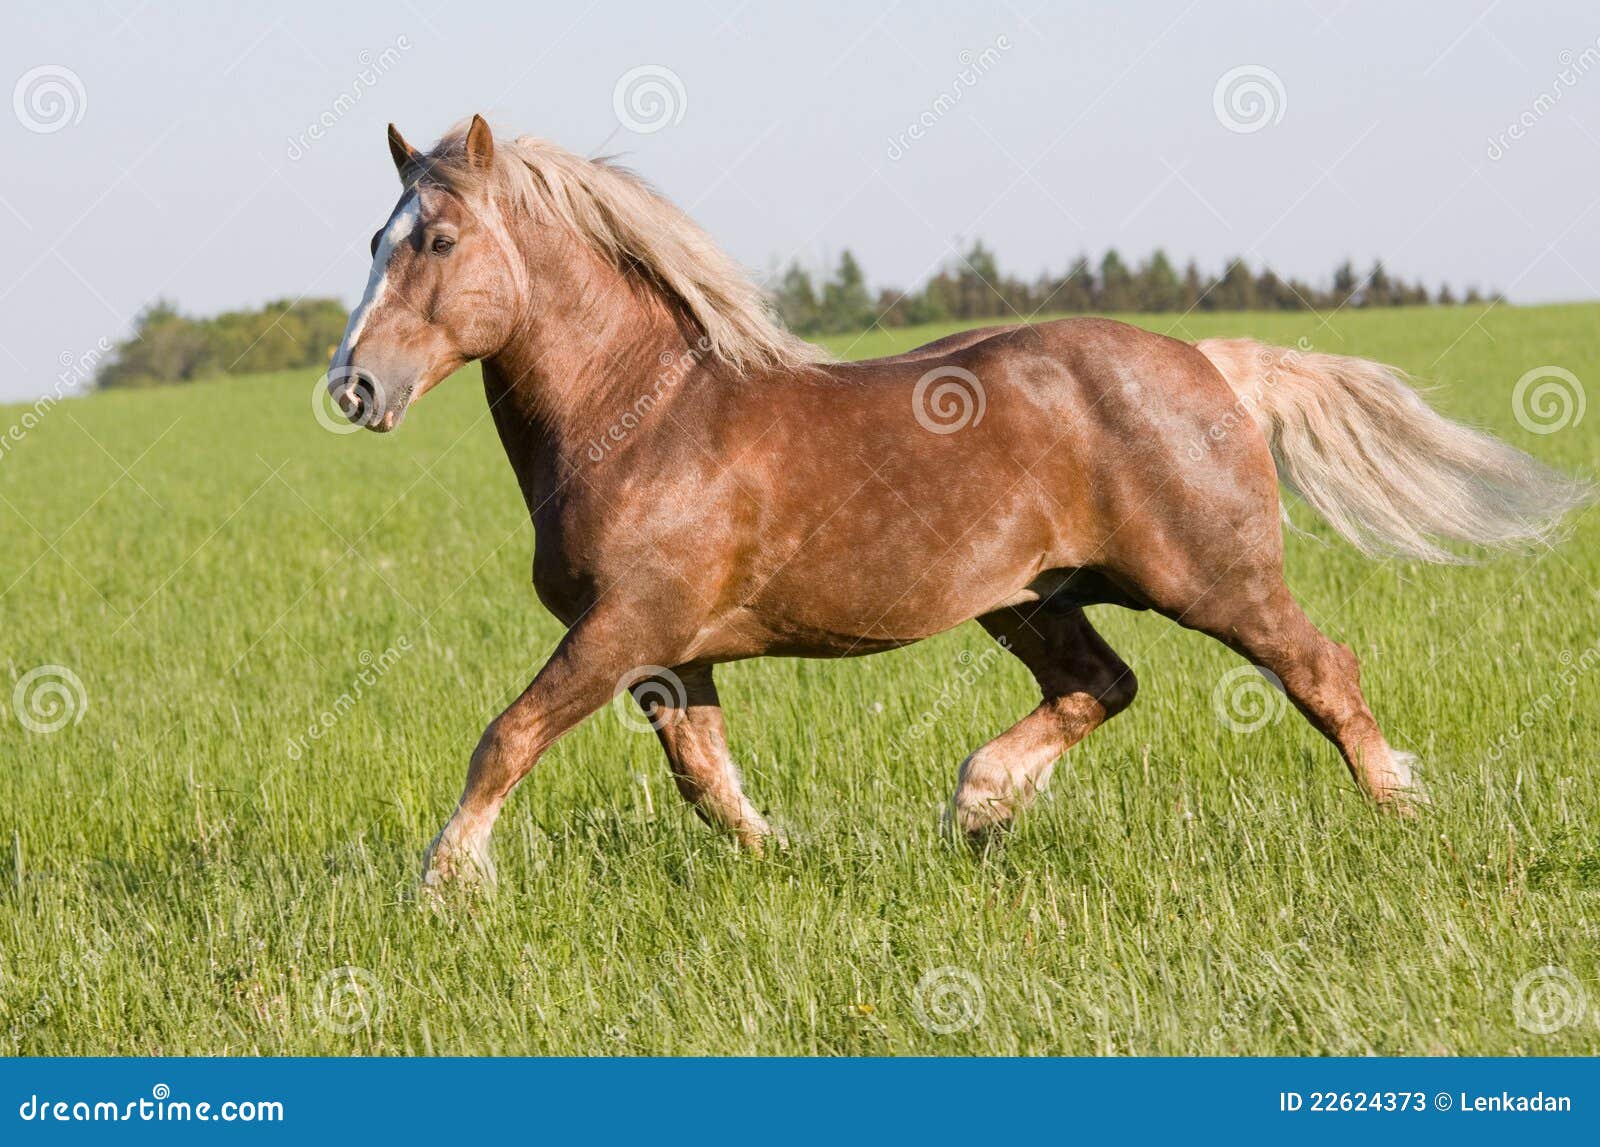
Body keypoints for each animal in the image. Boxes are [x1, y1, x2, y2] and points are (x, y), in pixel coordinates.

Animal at [326, 116, 1589, 887]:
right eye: (376, 237)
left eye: (437, 239)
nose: (353, 386)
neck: (638, 418)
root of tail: (1211, 363)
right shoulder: (670, 650)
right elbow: (707, 780)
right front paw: (782, 860)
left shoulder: (623, 626)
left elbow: (508, 735)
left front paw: (444, 880)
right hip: (1028, 596)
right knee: (1101, 683)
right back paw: (978, 805)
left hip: (1212, 579)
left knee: (1320, 670)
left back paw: (1402, 811)